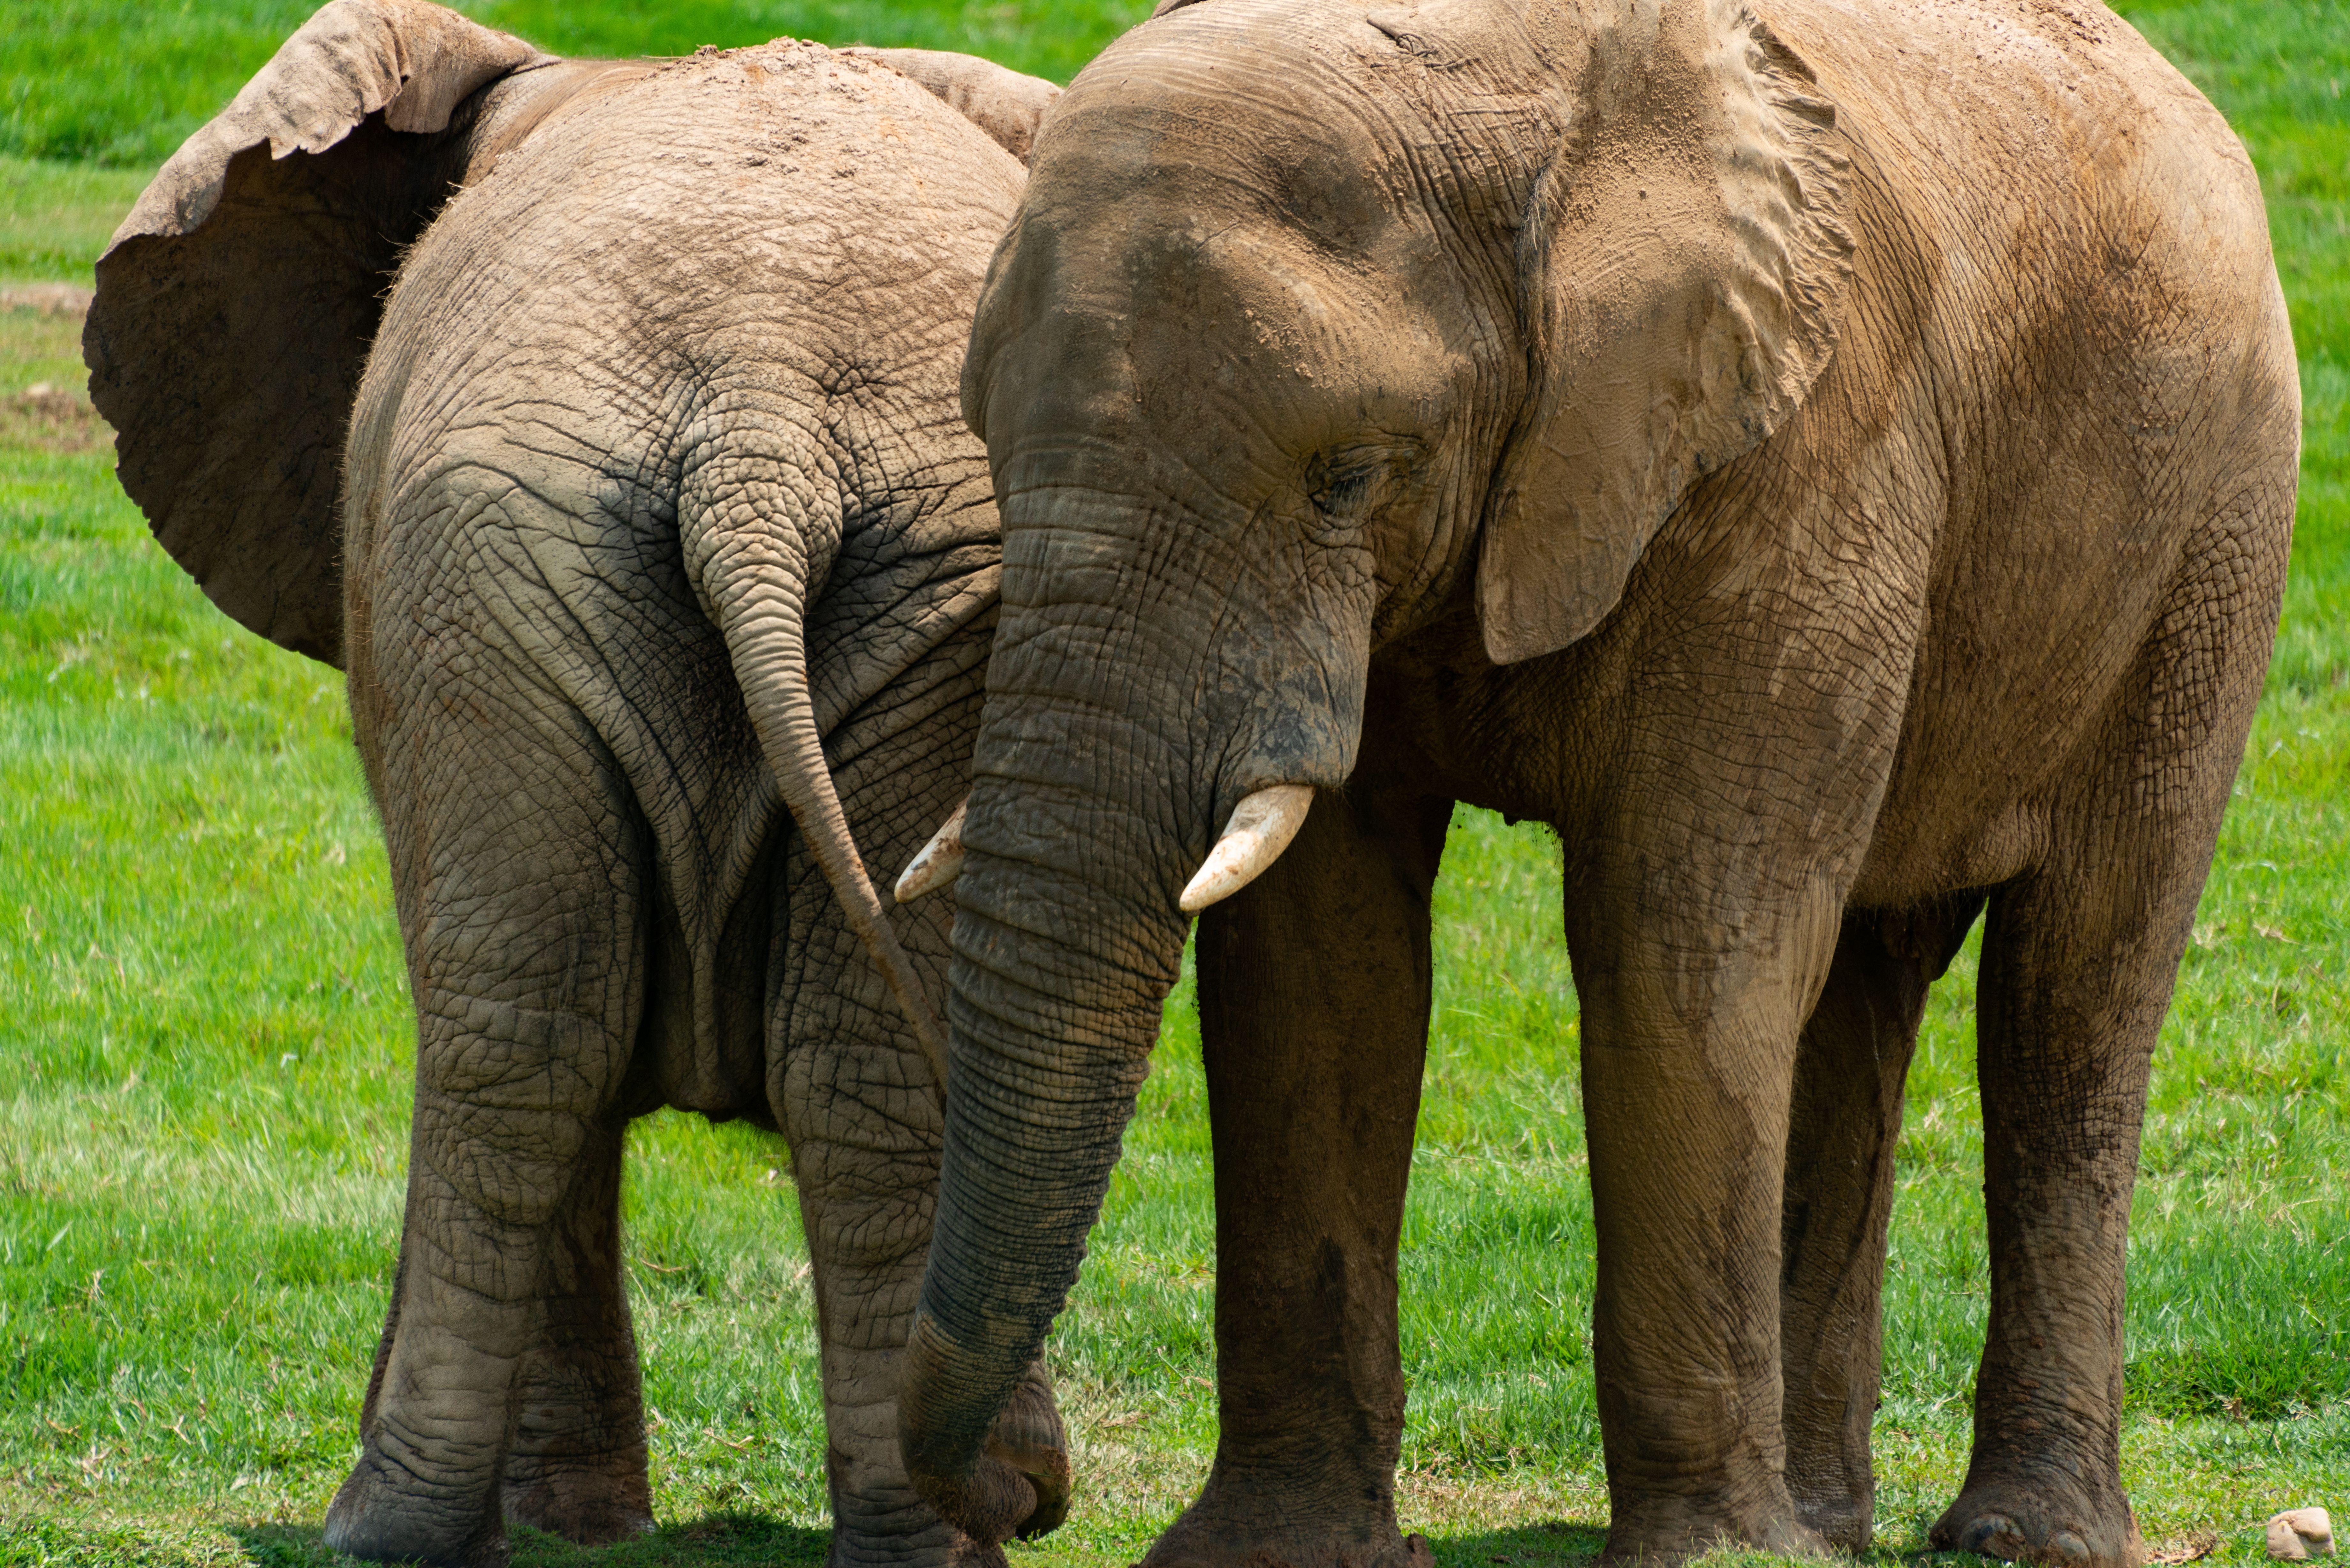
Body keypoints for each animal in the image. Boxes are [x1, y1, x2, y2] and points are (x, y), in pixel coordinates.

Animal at [83, 3, 1073, 1563]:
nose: (1039, 1487)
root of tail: (759, 424)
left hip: (527, 571)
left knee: (545, 1041)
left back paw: (392, 1522)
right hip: (560, 563)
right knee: (711, 1055)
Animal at [883, 0, 2300, 1566]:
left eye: (1346, 475)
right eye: (986, 440)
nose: (1015, 1496)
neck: (1505, 104)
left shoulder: (1798, 456)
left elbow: (1679, 945)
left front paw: (1720, 1559)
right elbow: (1319, 966)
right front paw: (1270, 1547)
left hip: (2219, 525)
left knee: (2076, 984)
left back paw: (2016, 1536)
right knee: (1863, 991)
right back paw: (1825, 1522)